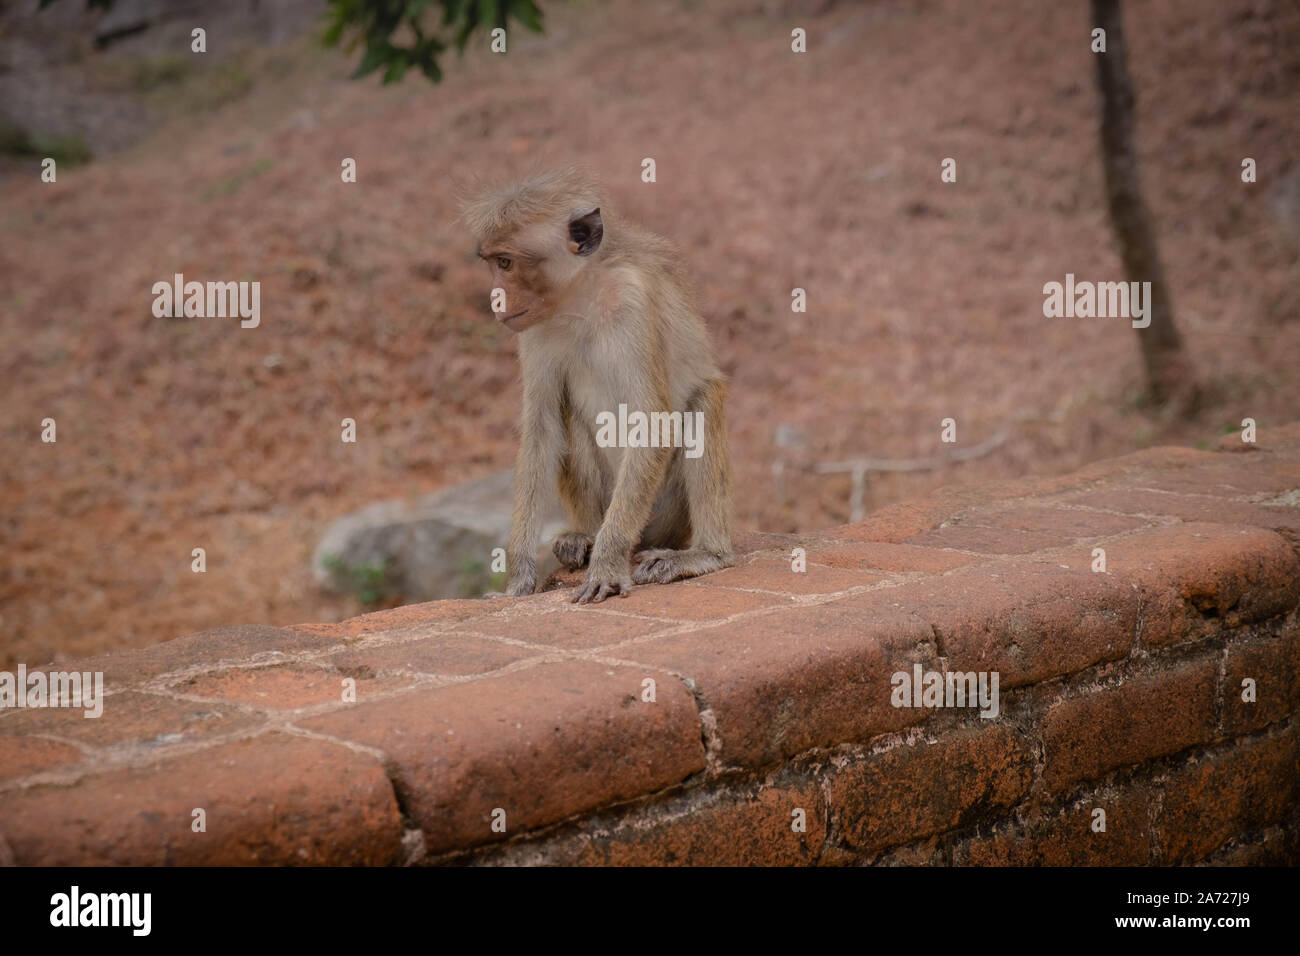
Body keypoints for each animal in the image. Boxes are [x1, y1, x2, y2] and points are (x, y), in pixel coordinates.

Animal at [460, 166, 733, 604]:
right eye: (493, 263)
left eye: (506, 262)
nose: (496, 298)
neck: (581, 298)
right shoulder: (534, 328)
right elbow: (543, 428)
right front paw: (519, 579)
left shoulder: (633, 302)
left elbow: (653, 422)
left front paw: (607, 564)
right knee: (566, 416)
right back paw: (584, 538)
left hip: (664, 512)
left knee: (703, 401)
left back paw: (706, 553)